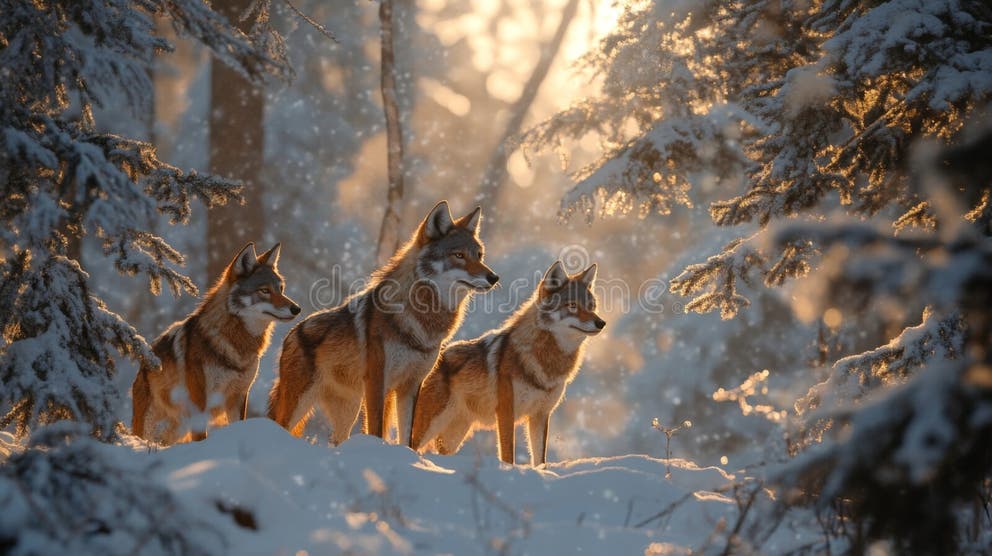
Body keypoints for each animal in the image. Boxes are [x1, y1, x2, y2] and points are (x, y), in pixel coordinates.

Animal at [131, 242, 301, 445]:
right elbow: (200, 438)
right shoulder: (199, 402)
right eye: (264, 290)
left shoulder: (238, 397)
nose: (297, 309)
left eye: (281, 289)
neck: (235, 341)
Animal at [267, 201, 499, 446]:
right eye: (459, 255)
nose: (494, 278)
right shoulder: (377, 381)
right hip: (300, 405)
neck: (424, 320)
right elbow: (377, 428)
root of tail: (292, 333)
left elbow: (407, 436)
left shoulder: (411, 385)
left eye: (479, 255)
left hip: (348, 410)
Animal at [410, 260, 604, 465]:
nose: (602, 323)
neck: (547, 360)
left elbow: (539, 459)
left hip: (454, 435)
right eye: (572, 305)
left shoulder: (541, 415)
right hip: (431, 425)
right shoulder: (505, 412)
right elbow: (508, 454)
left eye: (592, 306)